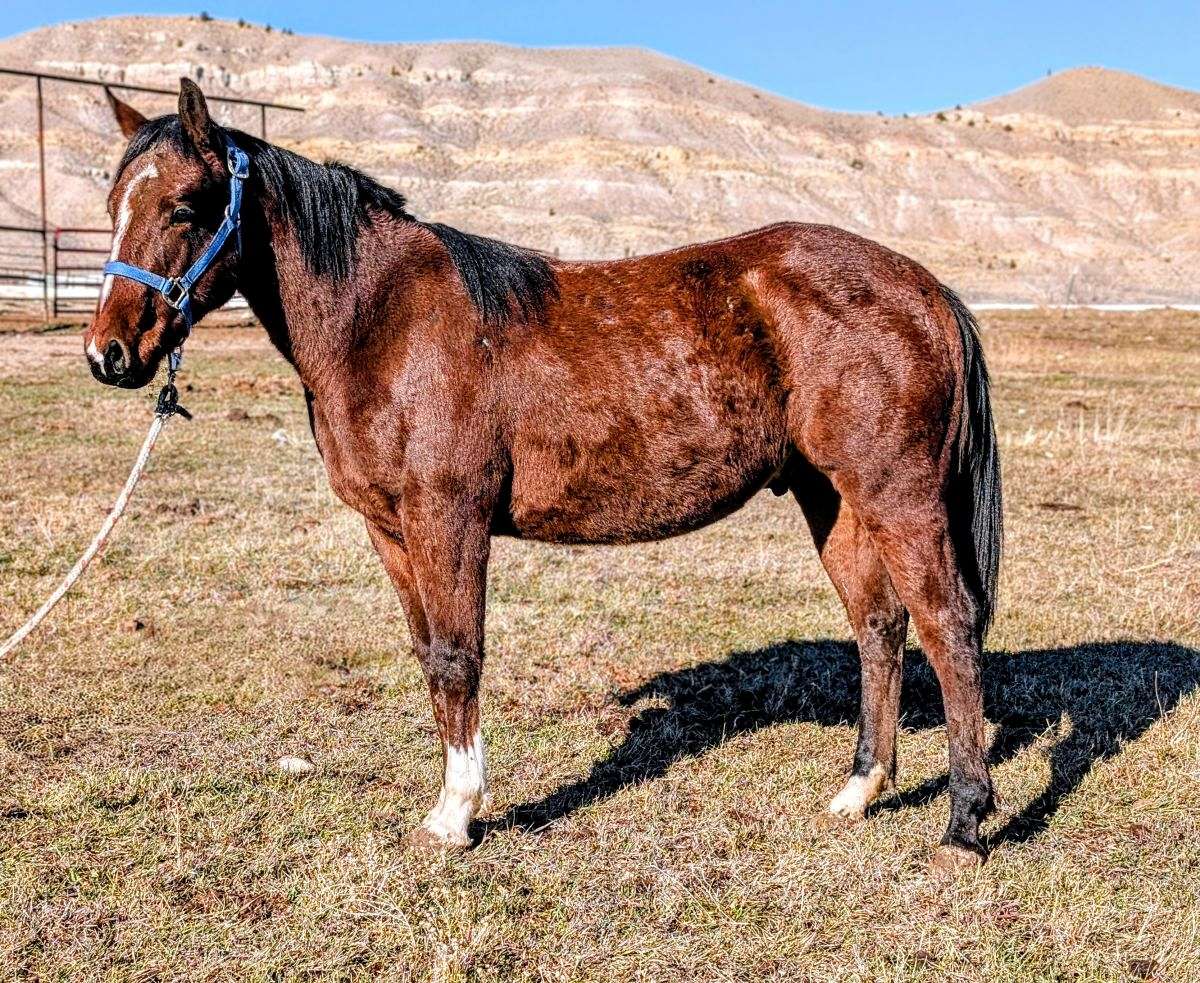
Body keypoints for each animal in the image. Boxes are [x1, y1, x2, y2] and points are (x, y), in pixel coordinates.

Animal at [85, 79, 1002, 873]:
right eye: (112, 204)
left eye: (185, 206)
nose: (109, 354)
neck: (384, 322)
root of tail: (924, 287)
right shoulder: (389, 530)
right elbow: (429, 654)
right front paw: (451, 803)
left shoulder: (446, 518)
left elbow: (460, 656)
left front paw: (457, 814)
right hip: (832, 495)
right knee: (879, 627)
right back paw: (859, 790)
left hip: (899, 495)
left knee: (948, 627)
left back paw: (964, 822)